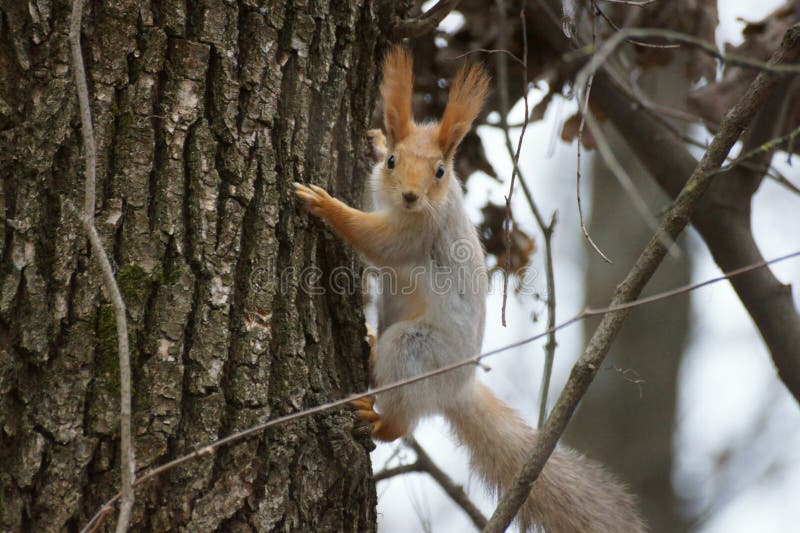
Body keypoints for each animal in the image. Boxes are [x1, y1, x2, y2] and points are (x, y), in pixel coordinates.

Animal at [294, 46, 646, 533]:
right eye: (392, 162)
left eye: (441, 171)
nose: (410, 196)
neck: (422, 205)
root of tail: (459, 387)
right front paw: (376, 137)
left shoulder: (417, 231)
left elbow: (377, 241)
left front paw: (324, 204)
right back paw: (369, 342)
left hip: (416, 351)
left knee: (401, 419)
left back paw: (378, 417)